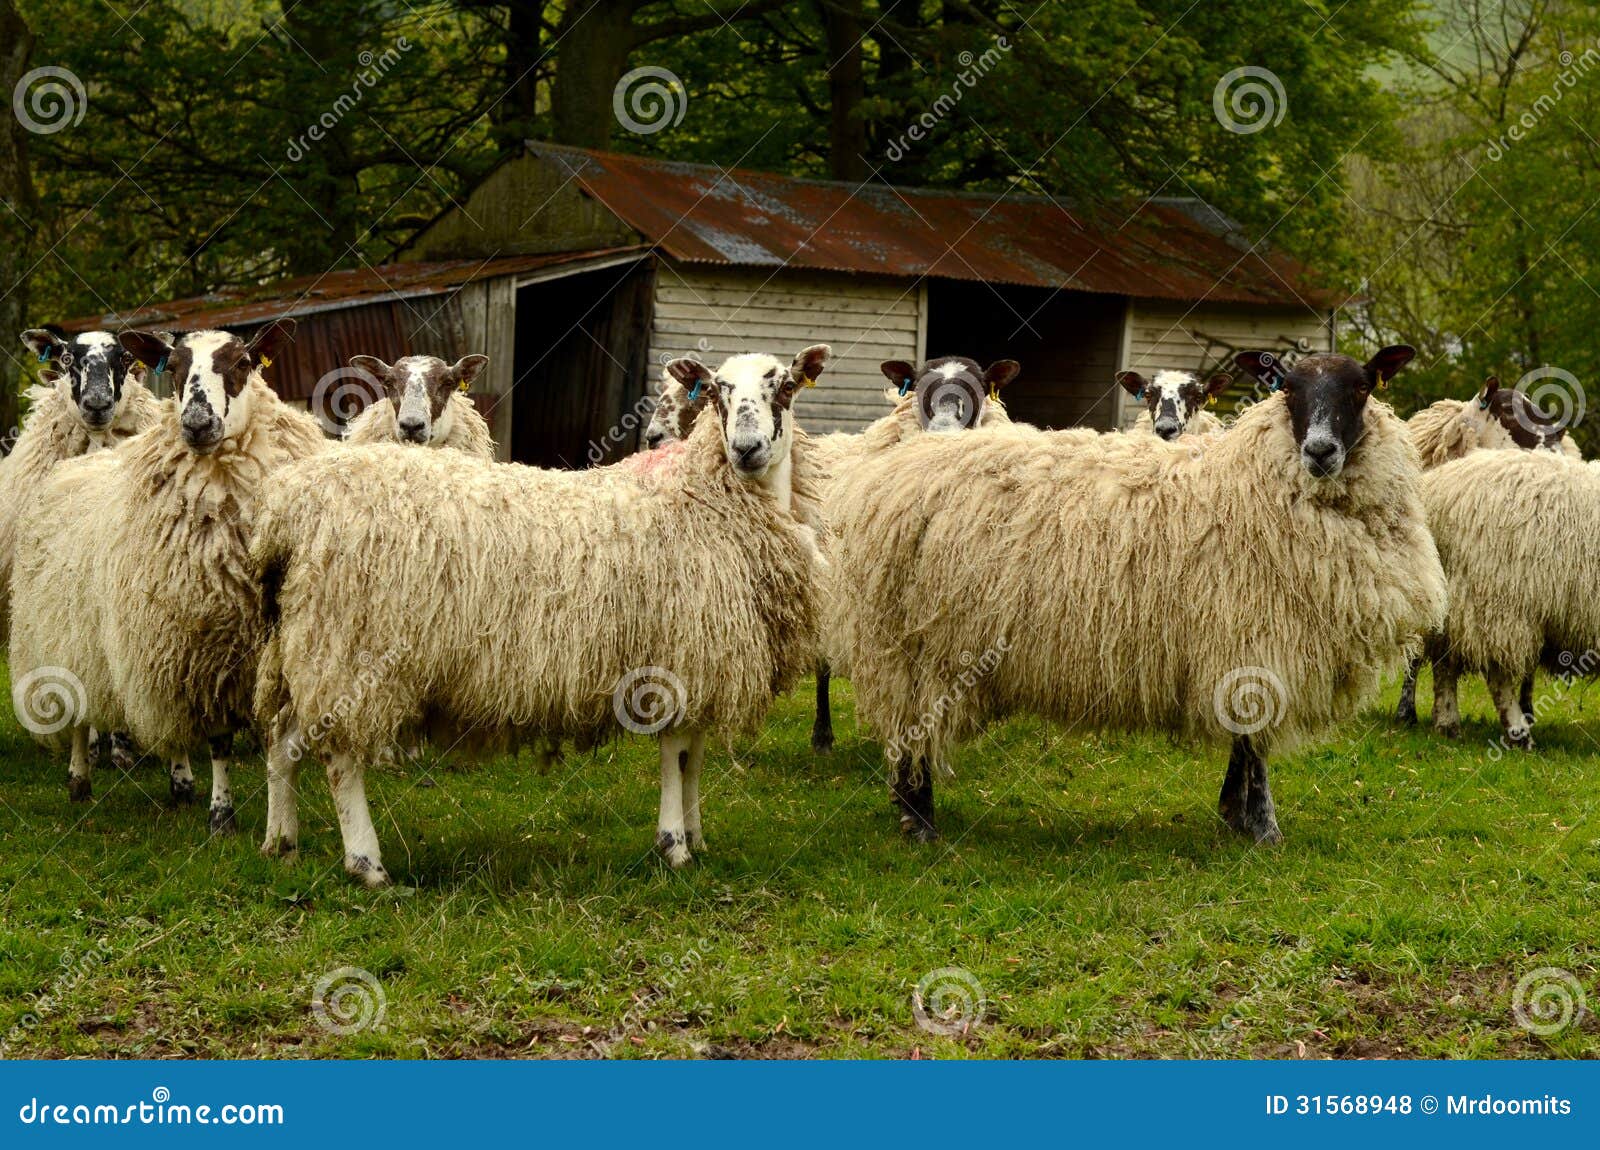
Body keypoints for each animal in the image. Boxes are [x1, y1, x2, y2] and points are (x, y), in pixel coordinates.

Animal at [8, 322, 324, 832]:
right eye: (173, 368)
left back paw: (178, 783)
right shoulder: (204, 648)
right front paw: (222, 815)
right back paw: (80, 777)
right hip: (72, 638)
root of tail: (77, 464)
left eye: (242, 363)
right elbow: (219, 739)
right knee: (80, 714)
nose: (196, 423)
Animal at [829, 347, 1445, 844]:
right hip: (916, 646)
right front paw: (1263, 826)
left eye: (1361, 388)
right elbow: (1257, 746)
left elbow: (1243, 742)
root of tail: (889, 472)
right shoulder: (1256, 636)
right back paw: (920, 820)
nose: (1319, 451)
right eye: (1289, 389)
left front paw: (1232, 812)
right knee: (912, 729)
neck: (1256, 482)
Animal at [1416, 447, 1600, 749]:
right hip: (1498, 602)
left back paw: (1447, 723)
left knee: (1445, 663)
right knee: (1497, 675)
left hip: (1455, 601)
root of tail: (1438, 493)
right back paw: (1519, 734)